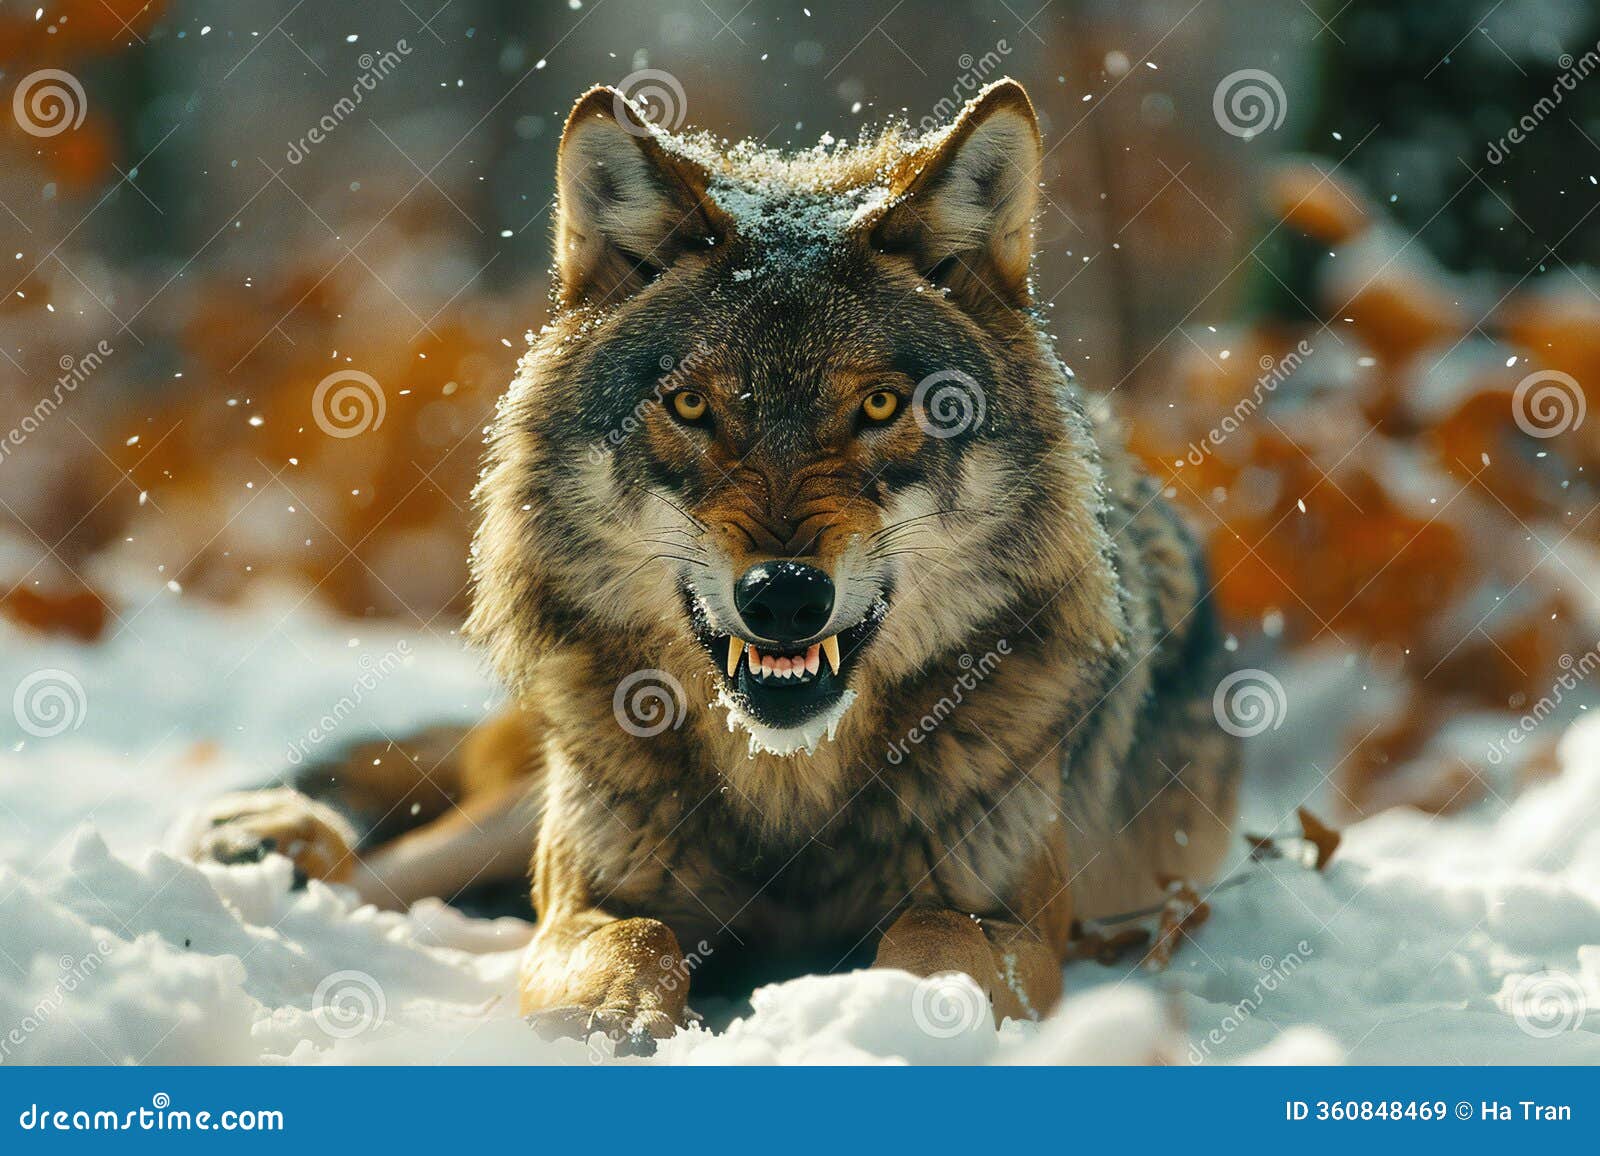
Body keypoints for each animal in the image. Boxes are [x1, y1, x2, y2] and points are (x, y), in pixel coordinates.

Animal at [174, 79, 1238, 1046]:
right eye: (692, 406)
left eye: (882, 407)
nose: (784, 597)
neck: (790, 793)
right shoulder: (585, 900)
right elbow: (632, 939)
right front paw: (609, 1023)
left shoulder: (1016, 920)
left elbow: (935, 936)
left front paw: (904, 1017)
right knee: (386, 867)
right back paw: (272, 842)